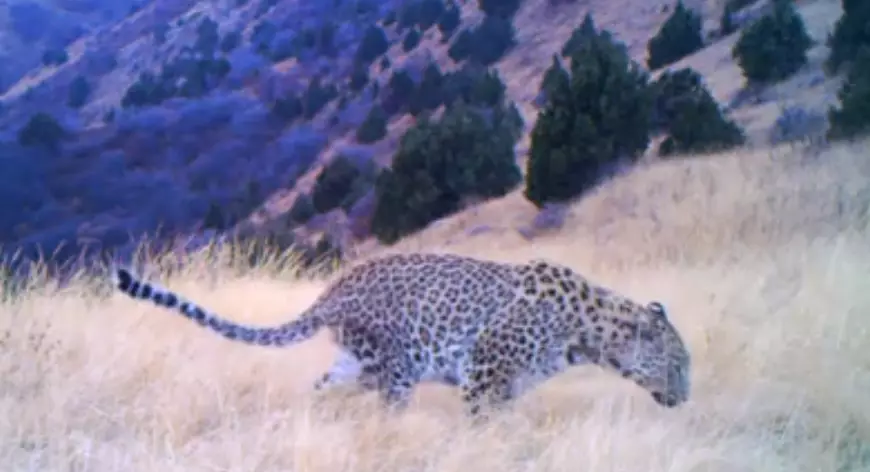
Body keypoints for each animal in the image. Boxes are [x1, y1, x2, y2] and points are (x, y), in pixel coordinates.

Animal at [112, 253, 692, 418]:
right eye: (679, 365)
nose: (686, 396)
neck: (589, 337)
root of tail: (334, 290)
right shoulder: (483, 372)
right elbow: (482, 423)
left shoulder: (508, 386)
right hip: (393, 370)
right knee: (382, 405)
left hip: (354, 363)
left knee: (322, 389)